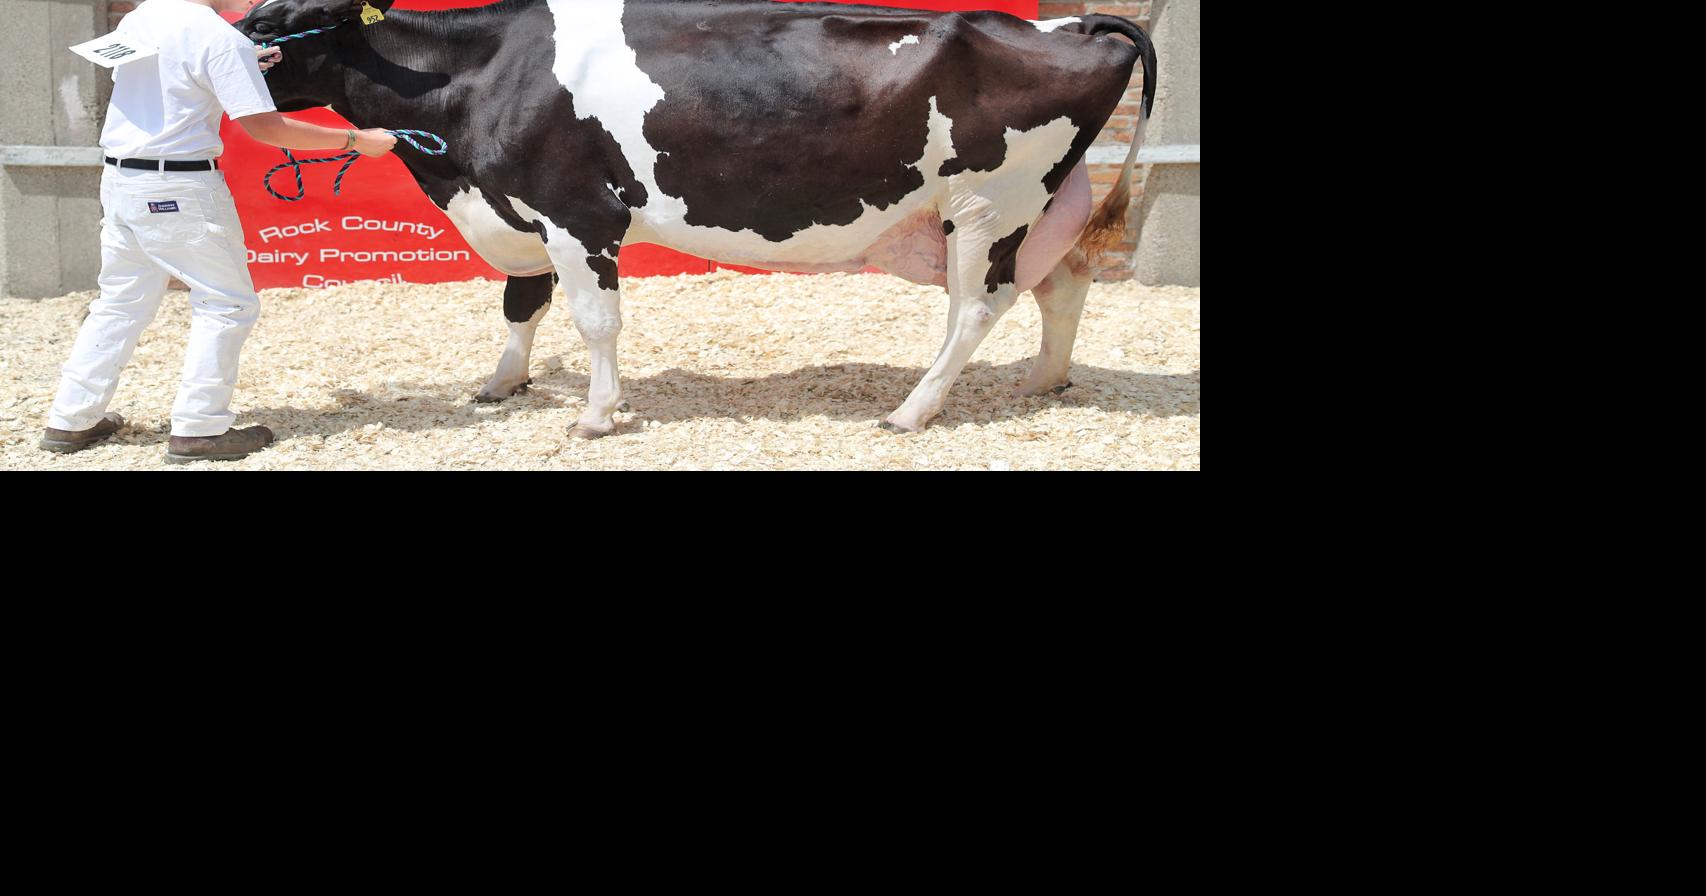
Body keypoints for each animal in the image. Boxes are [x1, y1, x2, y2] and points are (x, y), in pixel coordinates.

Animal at [236, 0, 1157, 438]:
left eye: (274, 26)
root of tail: (1073, 22)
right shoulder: (523, 211)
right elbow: (520, 305)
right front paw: (501, 385)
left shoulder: (577, 212)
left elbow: (594, 321)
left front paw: (596, 416)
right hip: (1029, 207)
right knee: (1062, 283)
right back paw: (1043, 380)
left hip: (989, 201)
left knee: (976, 306)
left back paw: (911, 410)